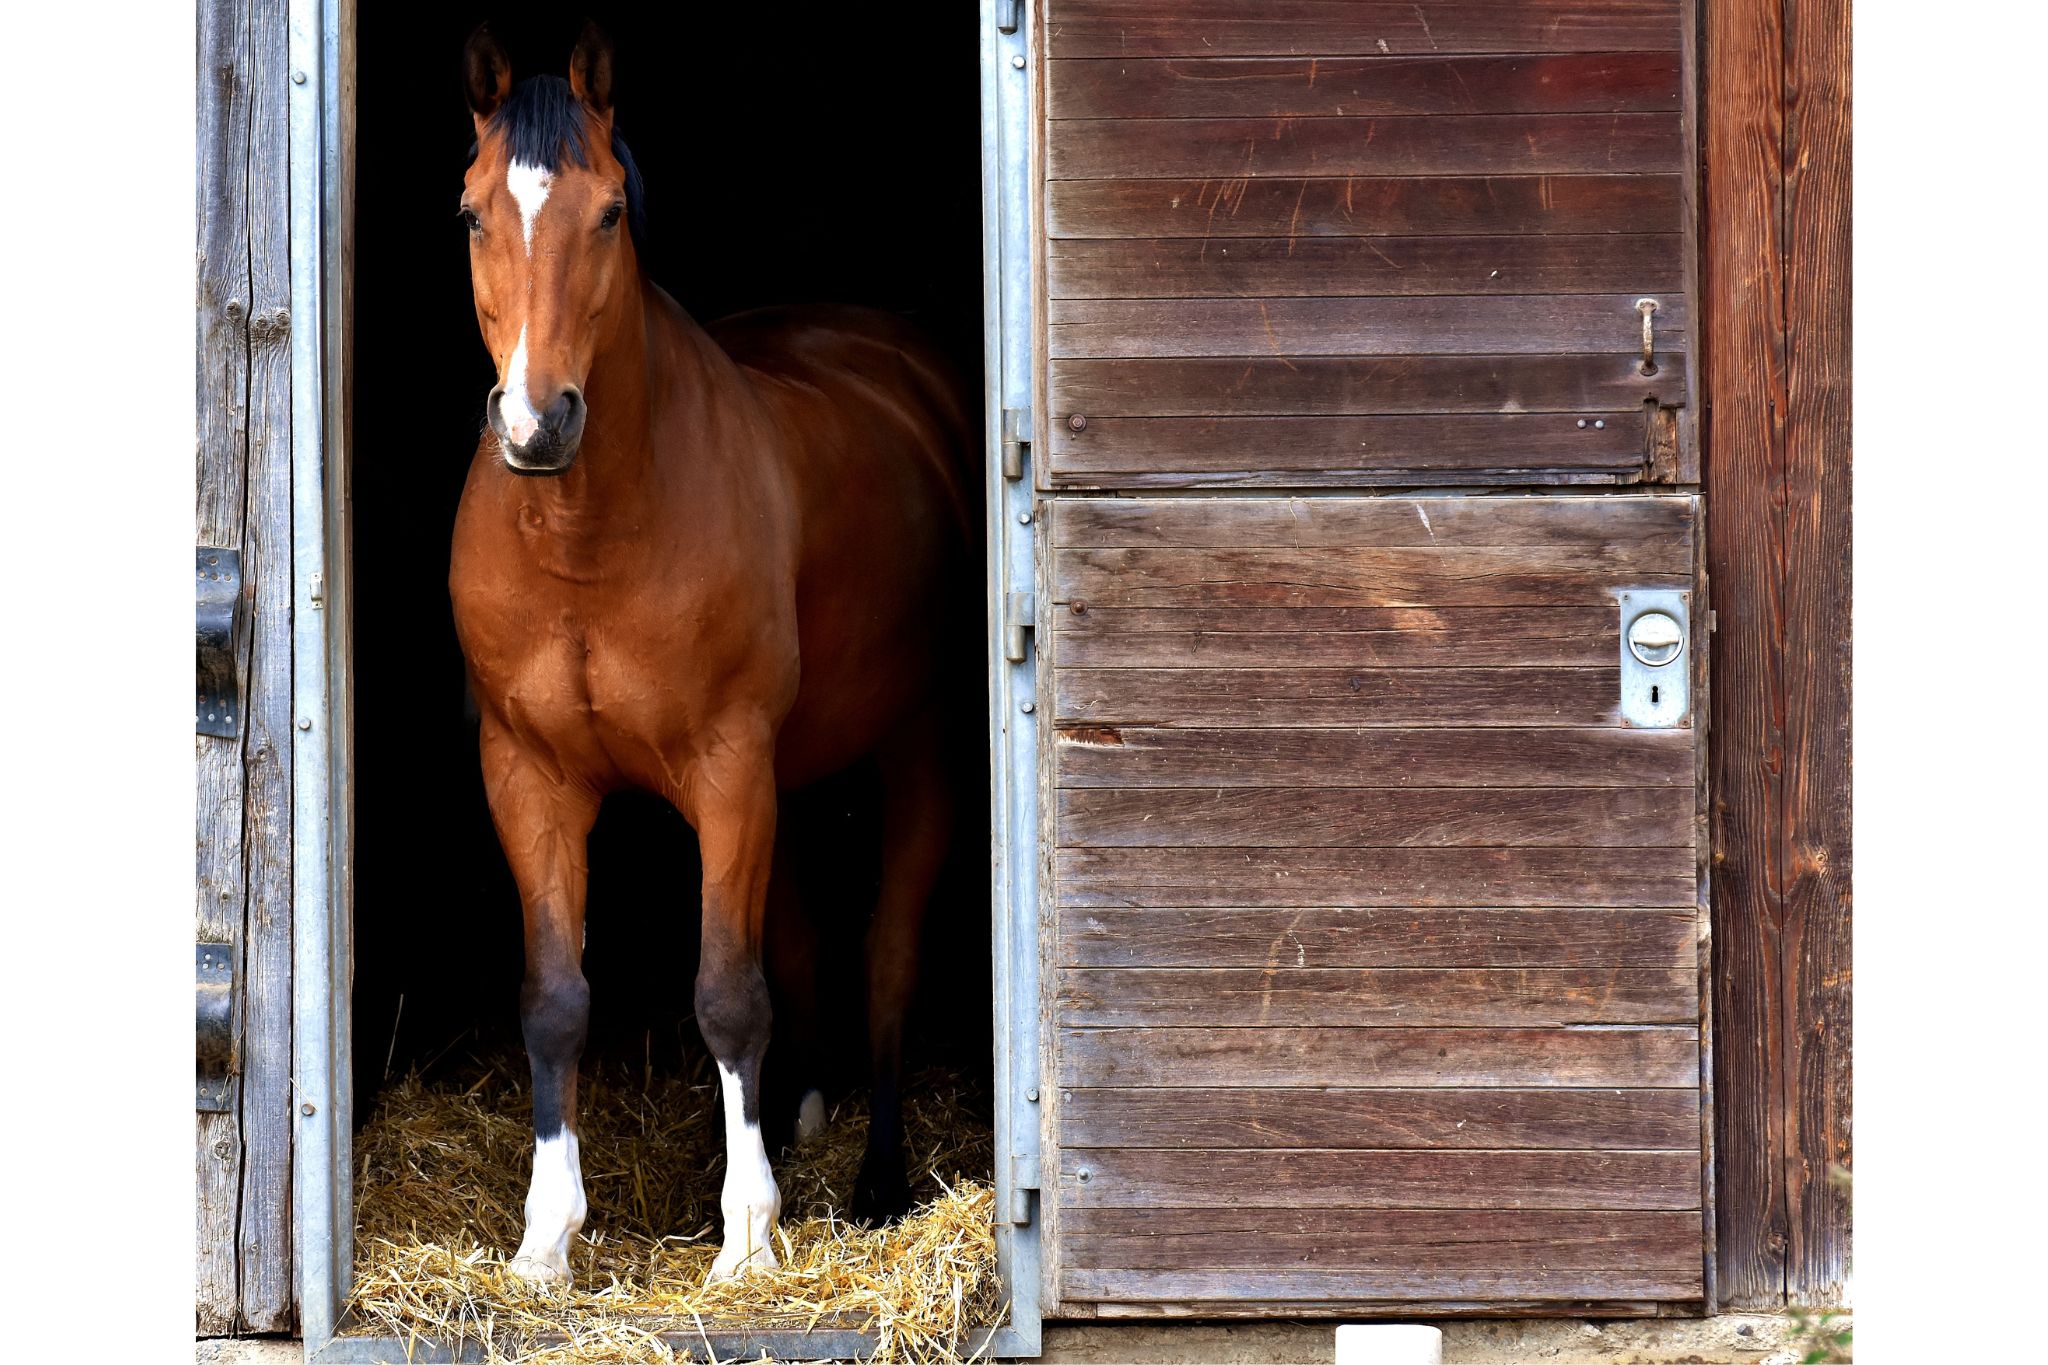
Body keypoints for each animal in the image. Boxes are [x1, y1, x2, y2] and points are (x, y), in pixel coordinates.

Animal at [445, 23, 975, 1285]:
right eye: (471, 211)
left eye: (607, 213)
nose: (536, 423)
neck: (586, 536)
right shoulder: (527, 776)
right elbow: (554, 997)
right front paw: (545, 1239)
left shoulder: (729, 770)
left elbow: (729, 995)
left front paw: (745, 1238)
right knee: (808, 939)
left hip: (916, 748)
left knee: (885, 954)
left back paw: (877, 1182)